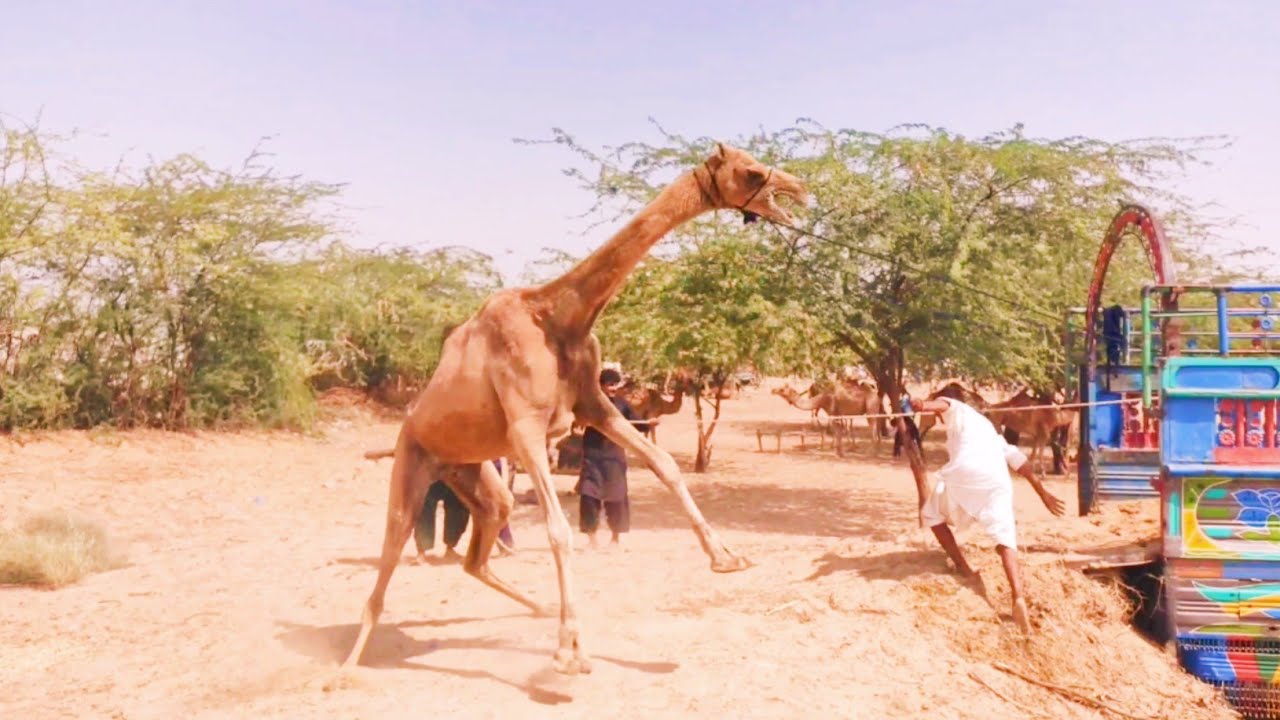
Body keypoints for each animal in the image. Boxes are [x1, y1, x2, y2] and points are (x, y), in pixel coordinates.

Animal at [340, 143, 806, 675]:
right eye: (750, 170)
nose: (799, 189)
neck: (557, 315)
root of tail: (409, 424)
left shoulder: (593, 403)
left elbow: (664, 463)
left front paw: (727, 558)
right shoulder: (525, 426)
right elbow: (558, 530)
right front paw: (569, 652)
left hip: (468, 470)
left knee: (479, 548)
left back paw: (537, 608)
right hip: (413, 460)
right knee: (391, 551)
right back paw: (345, 669)